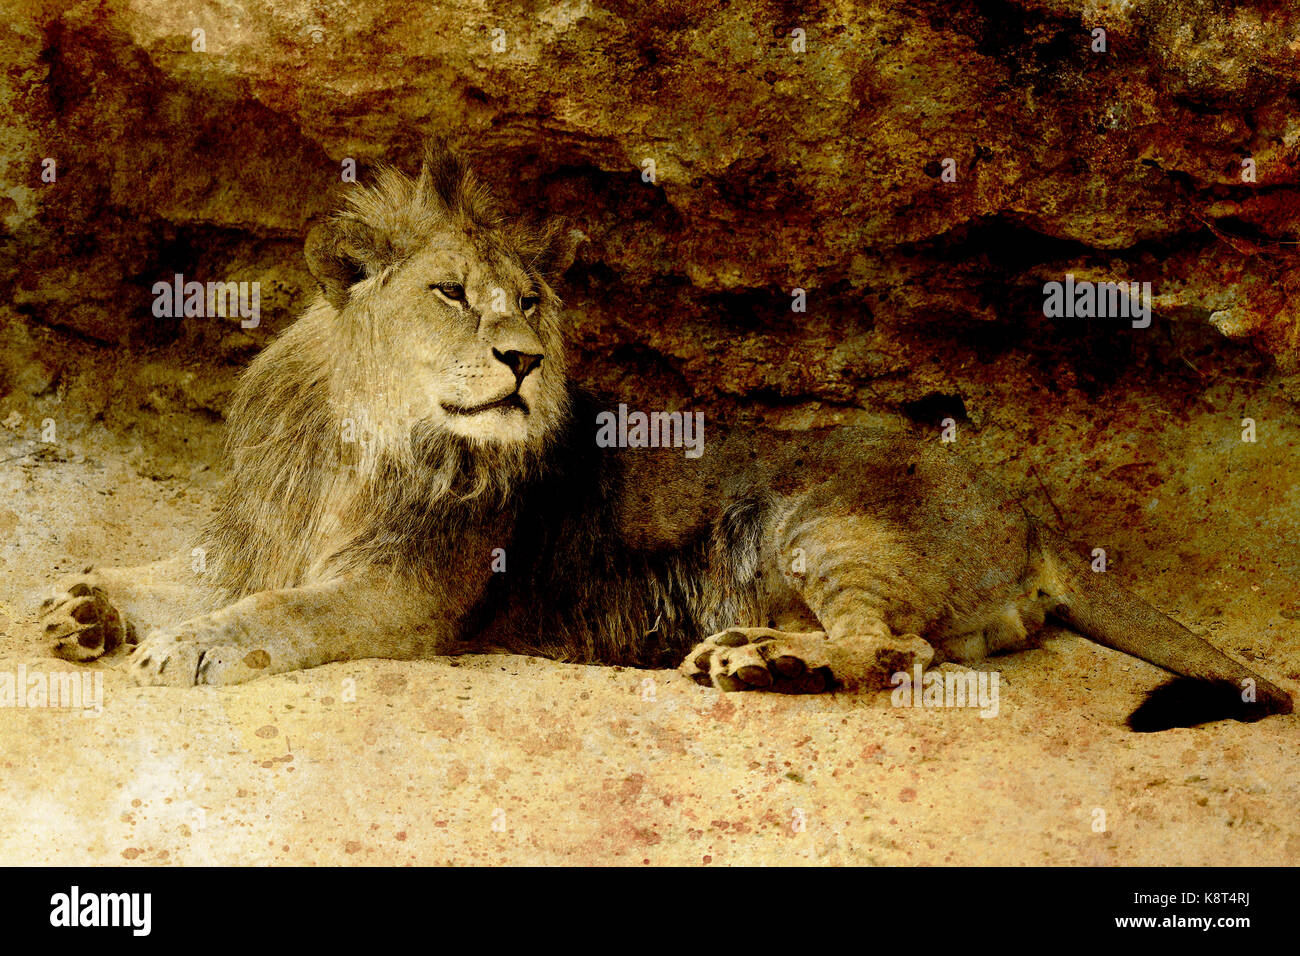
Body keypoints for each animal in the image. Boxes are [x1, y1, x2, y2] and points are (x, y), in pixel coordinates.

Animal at [36, 141, 1292, 732]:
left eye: (531, 302)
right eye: (451, 295)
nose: (523, 360)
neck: (355, 439)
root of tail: (1032, 514)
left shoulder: (402, 596)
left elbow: (277, 611)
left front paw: (189, 645)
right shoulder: (252, 538)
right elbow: (178, 569)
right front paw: (83, 605)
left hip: (820, 517)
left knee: (895, 648)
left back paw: (755, 661)